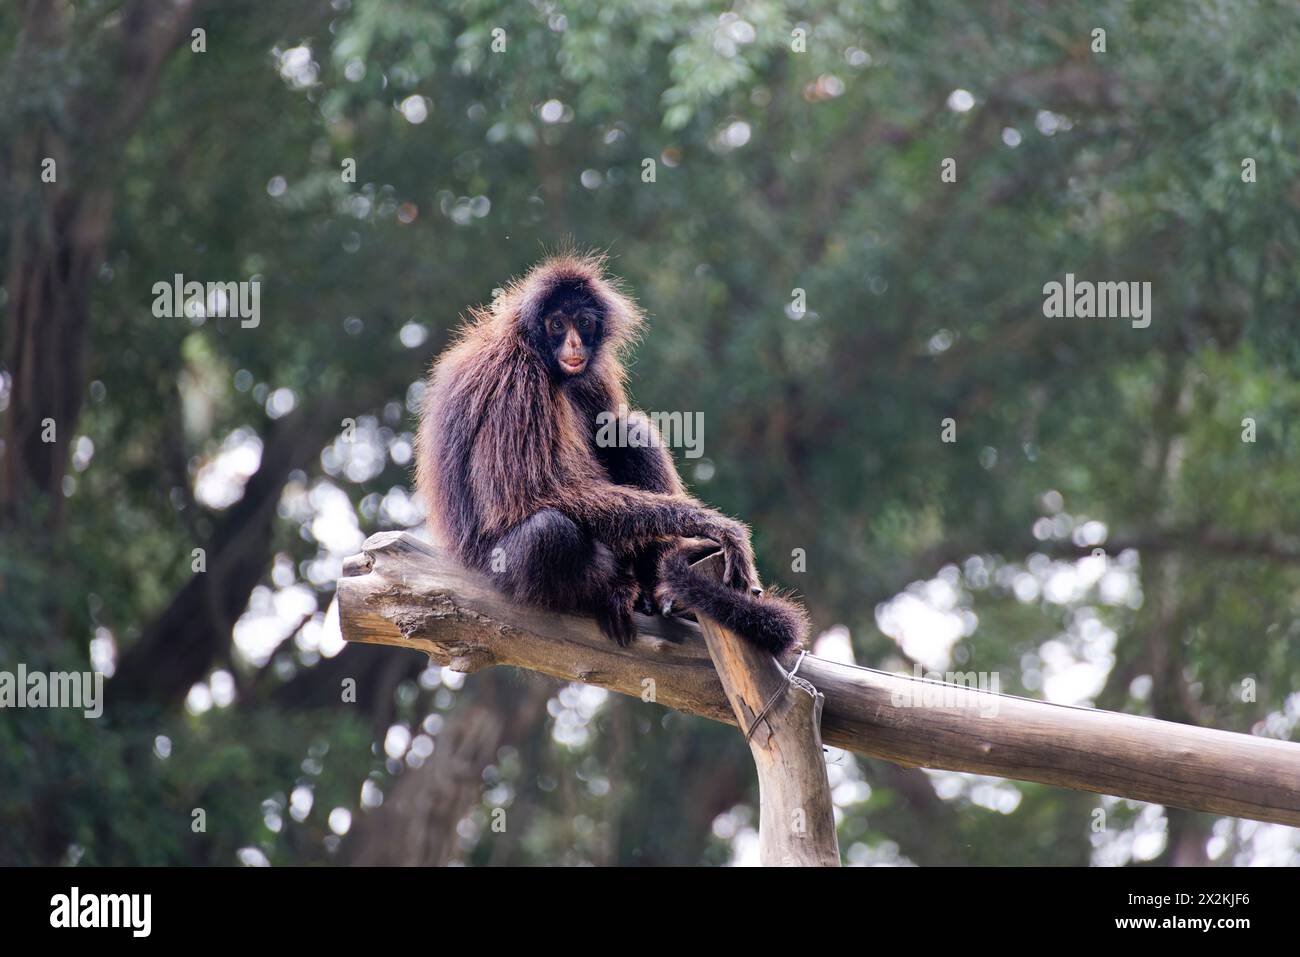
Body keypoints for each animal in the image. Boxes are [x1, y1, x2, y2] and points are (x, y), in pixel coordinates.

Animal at [415, 253, 807, 656]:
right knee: (549, 531)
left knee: (626, 430)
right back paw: (611, 595)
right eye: (557, 324)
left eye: (584, 323)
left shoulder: (590, 374)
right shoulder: (517, 379)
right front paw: (711, 524)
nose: (574, 344)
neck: (538, 354)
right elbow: (526, 497)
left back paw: (660, 591)